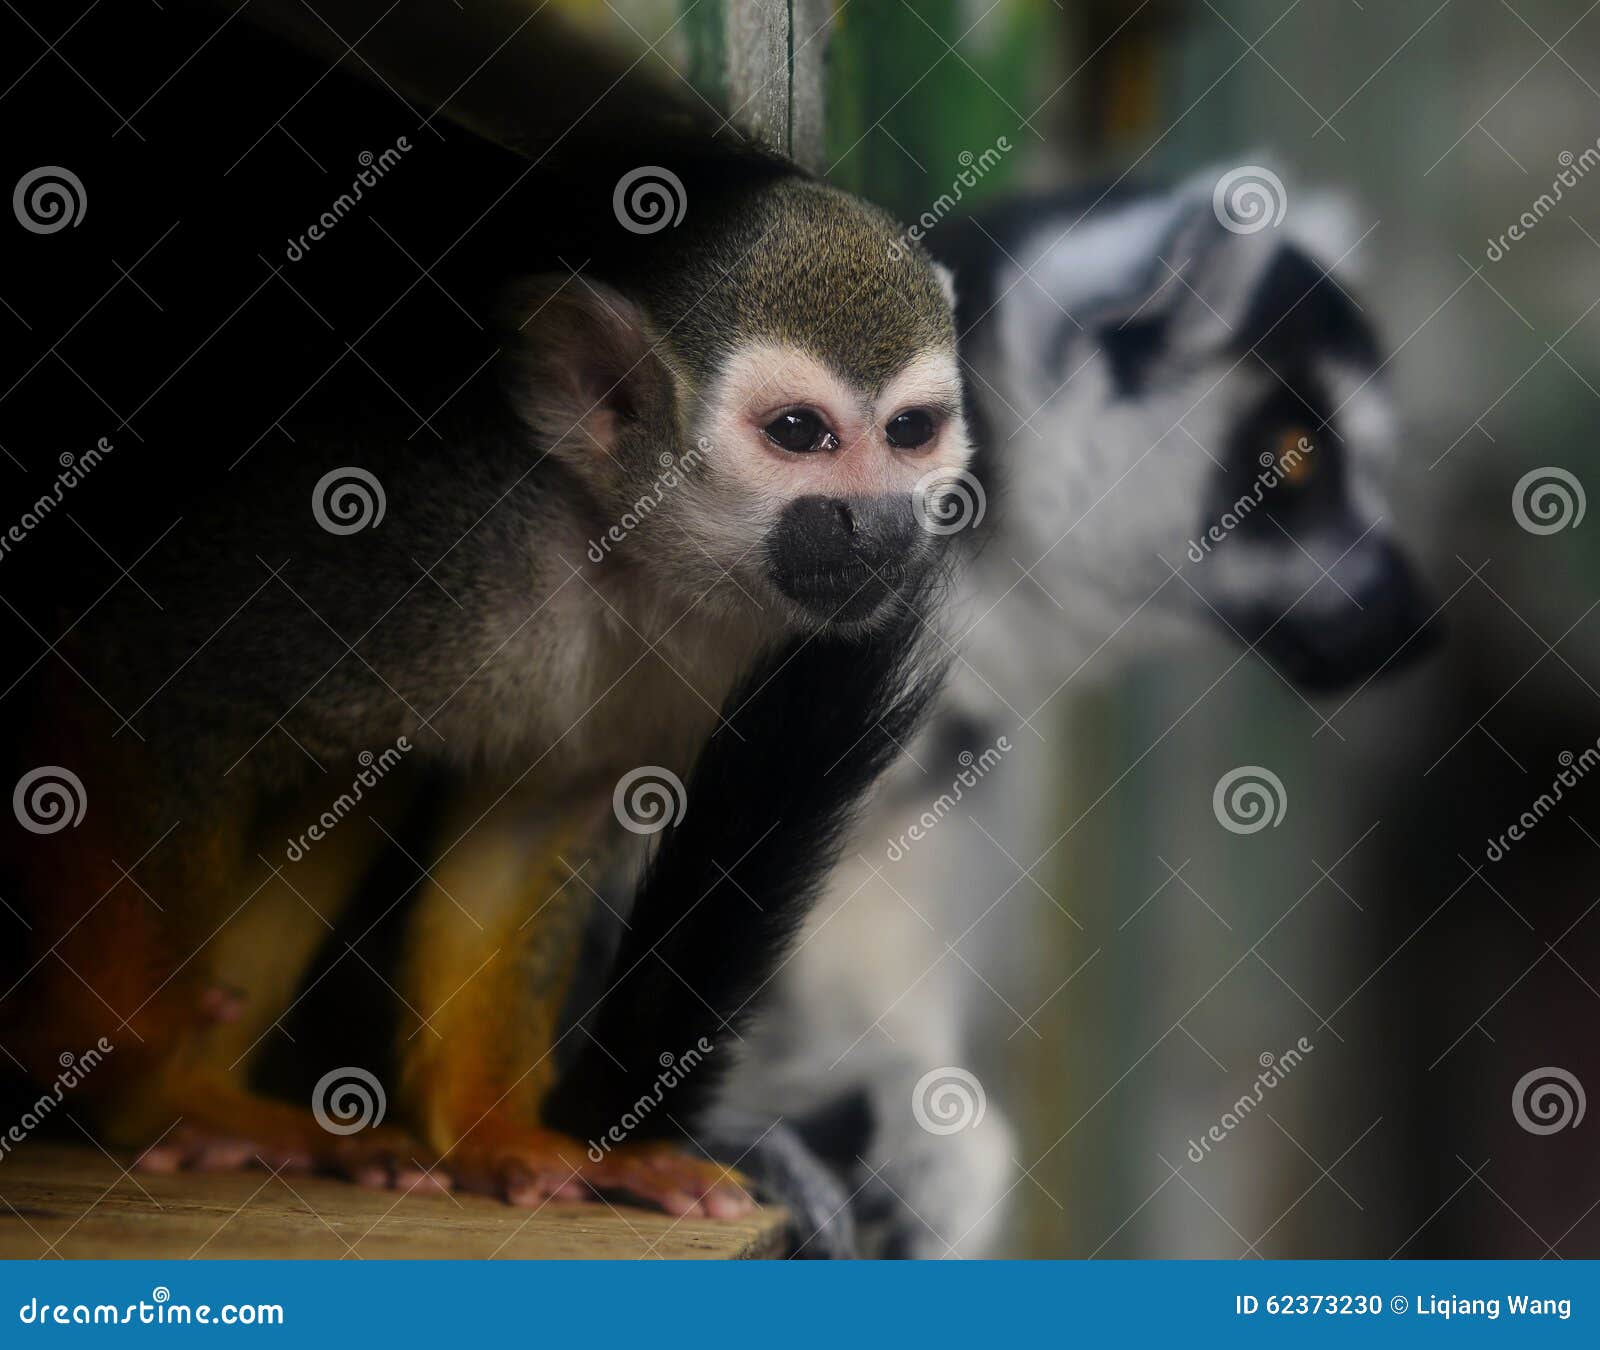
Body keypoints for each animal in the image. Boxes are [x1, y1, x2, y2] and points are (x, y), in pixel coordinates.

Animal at [0, 98, 972, 1221]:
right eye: (801, 432)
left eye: (911, 431)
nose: (883, 526)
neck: (617, 560)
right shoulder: (425, 561)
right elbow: (147, 684)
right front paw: (111, 1038)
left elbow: (530, 817)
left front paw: (494, 1134)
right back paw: (163, 1102)